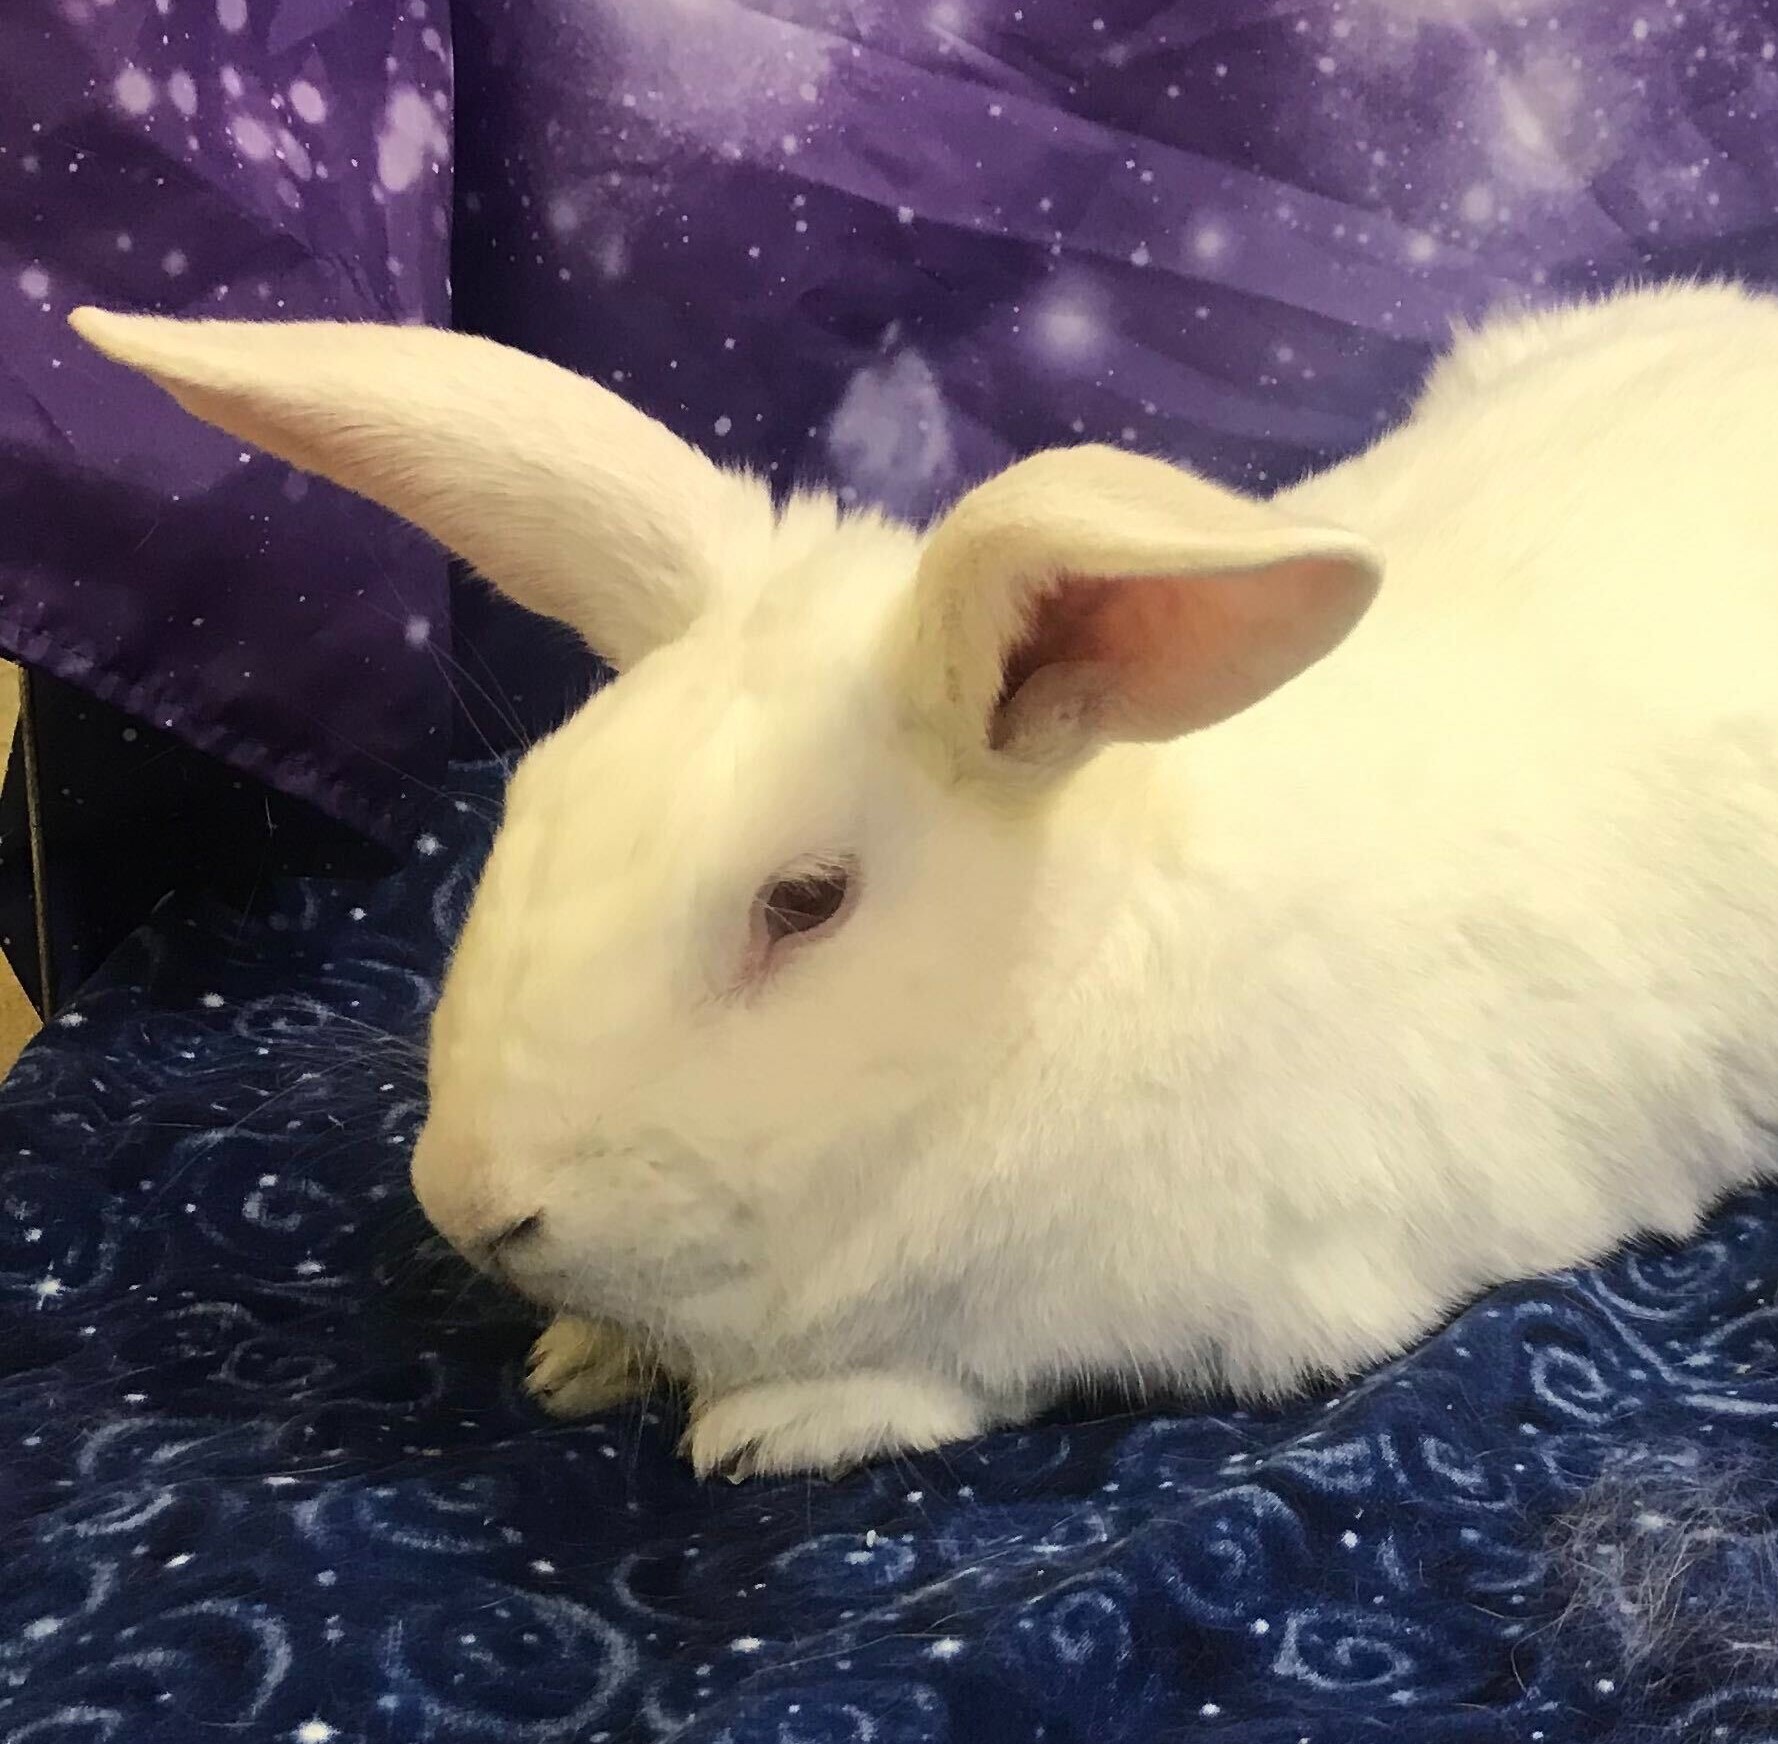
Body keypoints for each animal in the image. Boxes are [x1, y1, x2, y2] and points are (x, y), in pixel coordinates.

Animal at [69, 280, 1778, 1479]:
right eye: (533, 801)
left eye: (804, 901)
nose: (475, 1205)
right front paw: (582, 1358)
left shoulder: (1246, 1291)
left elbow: (965, 1378)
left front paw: (779, 1424)